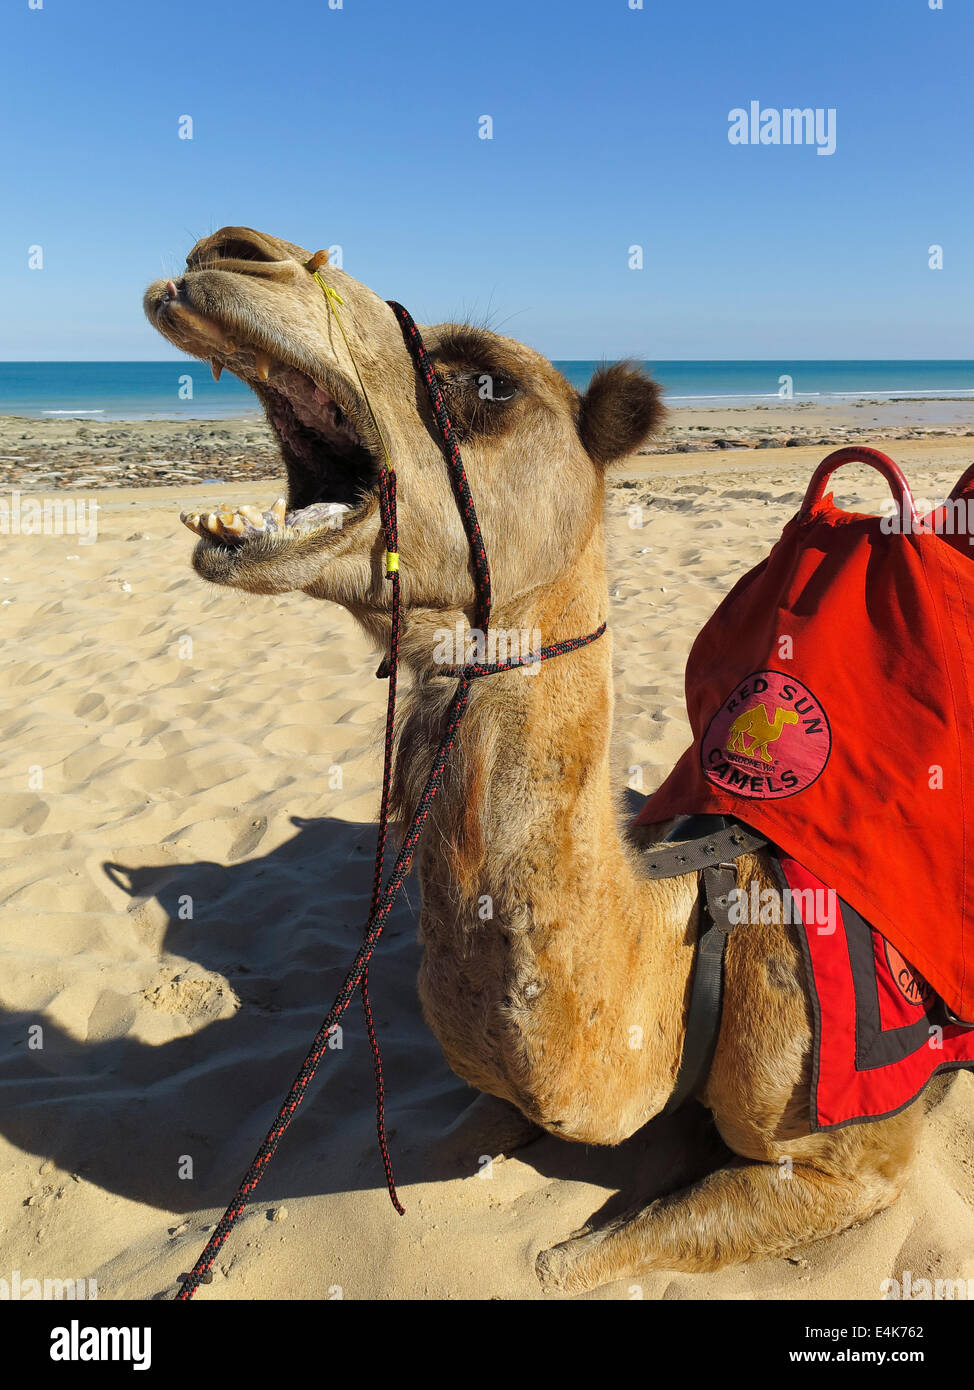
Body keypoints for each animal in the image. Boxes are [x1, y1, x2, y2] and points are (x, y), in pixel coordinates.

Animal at [143, 226, 930, 1295]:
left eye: (490, 382)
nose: (229, 253)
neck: (684, 948)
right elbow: (453, 1146)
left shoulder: (846, 1160)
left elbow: (567, 1260)